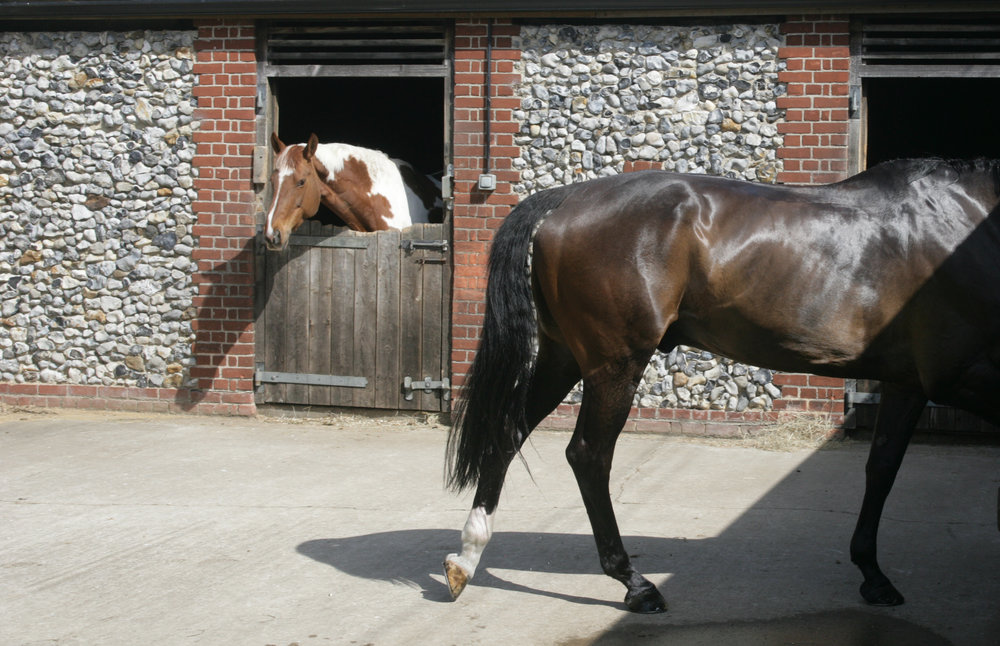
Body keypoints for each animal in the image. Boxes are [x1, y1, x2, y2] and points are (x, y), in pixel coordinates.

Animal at [444, 158, 1000, 613]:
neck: (964, 224)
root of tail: (565, 199)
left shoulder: (908, 382)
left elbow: (881, 469)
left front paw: (873, 575)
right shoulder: (956, 378)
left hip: (564, 359)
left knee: (508, 433)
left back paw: (467, 557)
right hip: (614, 362)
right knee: (588, 455)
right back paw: (635, 584)